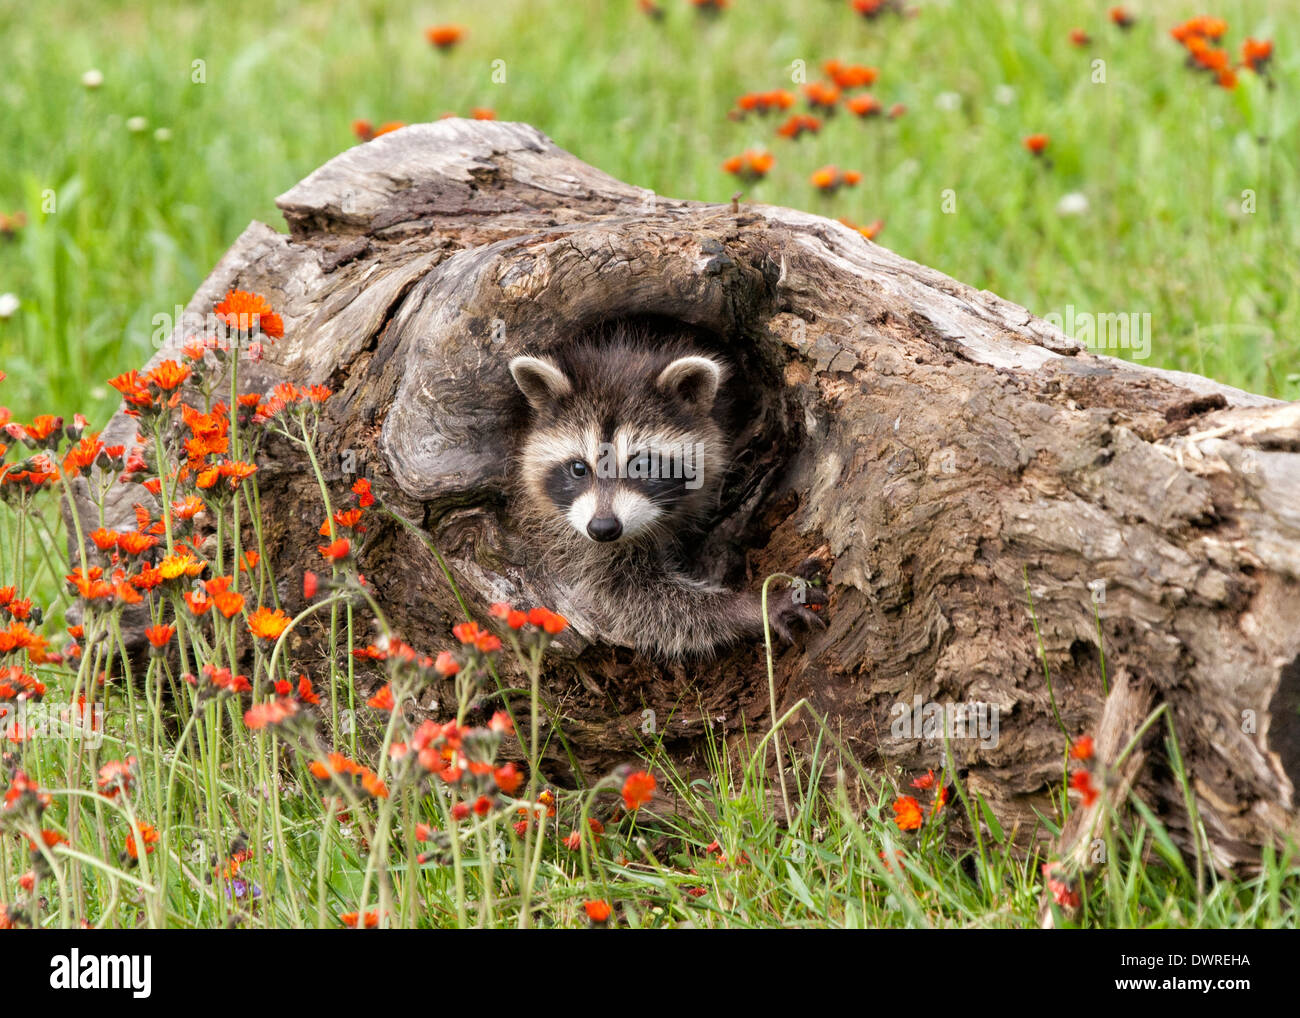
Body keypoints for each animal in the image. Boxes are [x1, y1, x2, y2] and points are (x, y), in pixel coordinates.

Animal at [507, 325, 826, 660]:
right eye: (579, 468)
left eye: (642, 465)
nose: (603, 528)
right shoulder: (566, 540)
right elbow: (636, 601)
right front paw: (749, 607)